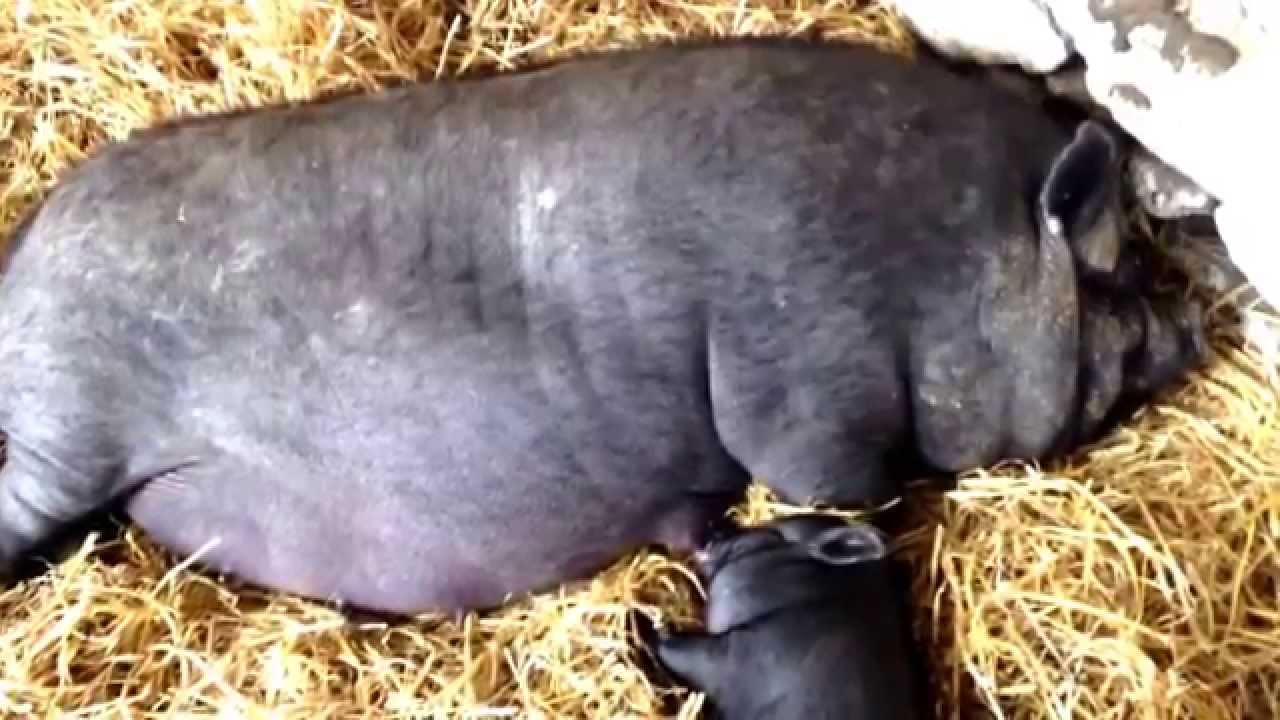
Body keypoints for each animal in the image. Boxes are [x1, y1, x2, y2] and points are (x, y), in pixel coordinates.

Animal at [0, 37, 1205, 615]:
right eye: (1112, 274)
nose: (1195, 329)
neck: (932, 273)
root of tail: (24, 255)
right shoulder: (806, 396)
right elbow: (834, 484)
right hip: (72, 410)